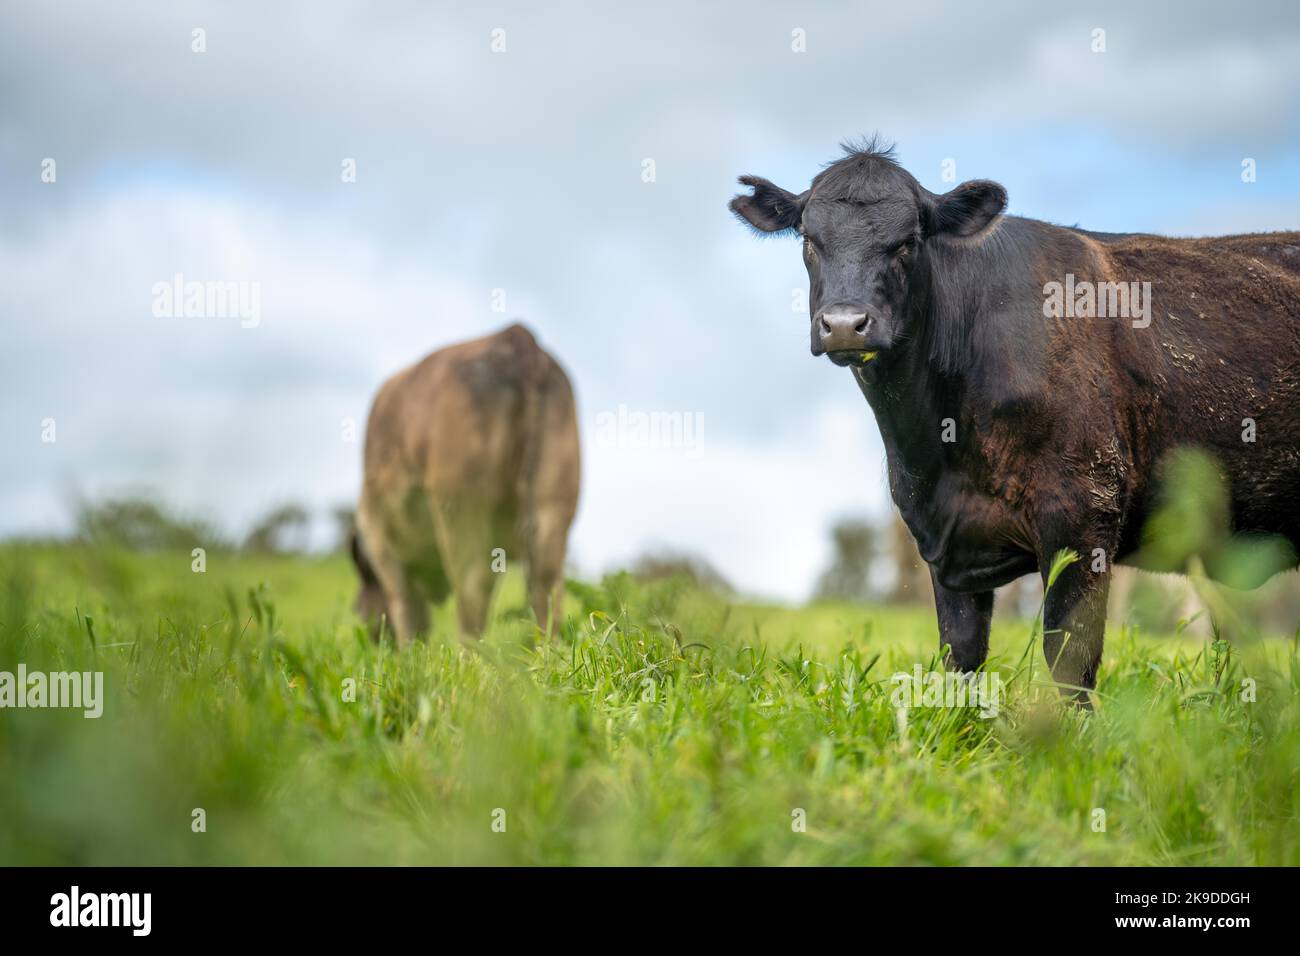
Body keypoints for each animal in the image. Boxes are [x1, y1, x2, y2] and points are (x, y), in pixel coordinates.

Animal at [351, 323, 580, 643]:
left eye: (360, 610)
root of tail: (516, 338)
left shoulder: (383, 545)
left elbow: (406, 609)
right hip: (552, 505)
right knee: (546, 584)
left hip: (460, 511)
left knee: (473, 586)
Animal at [729, 139, 1300, 705]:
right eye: (809, 239)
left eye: (909, 241)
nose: (845, 324)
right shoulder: (943, 543)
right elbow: (960, 660)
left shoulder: (1084, 514)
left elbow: (1069, 661)